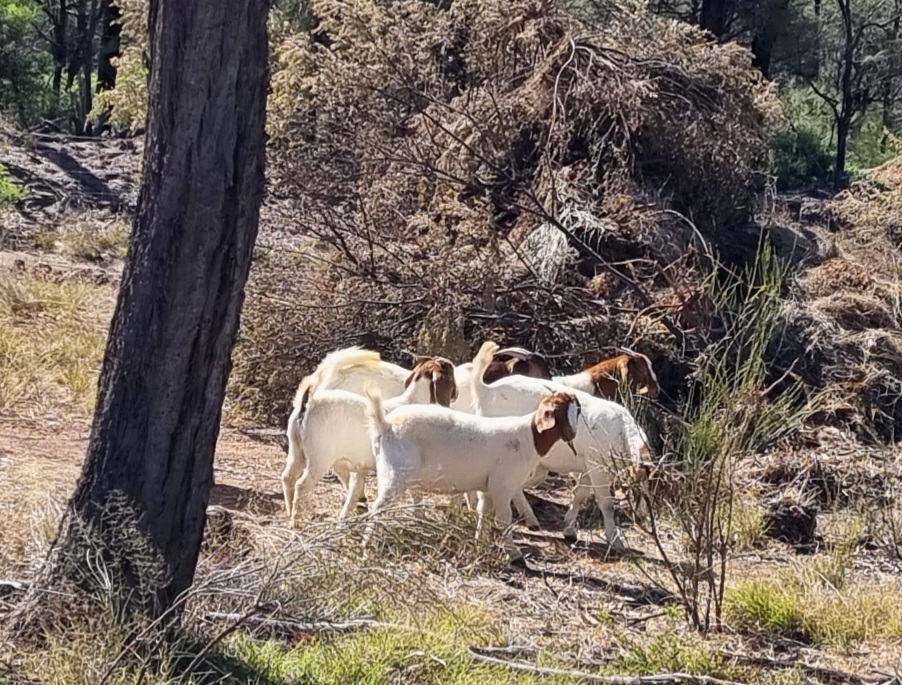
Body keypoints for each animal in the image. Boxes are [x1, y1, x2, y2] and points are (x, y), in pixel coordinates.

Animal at [281, 351, 457, 523]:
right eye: (450, 374)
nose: (455, 394)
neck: (412, 400)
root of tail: (307, 404)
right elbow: (416, 493)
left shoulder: (362, 467)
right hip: (320, 457)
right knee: (302, 485)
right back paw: (297, 522)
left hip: (297, 450)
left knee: (288, 476)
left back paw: (290, 513)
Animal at [363, 382, 581, 559]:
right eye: (559, 412)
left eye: (577, 412)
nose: (572, 434)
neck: (530, 438)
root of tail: (385, 425)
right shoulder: (502, 486)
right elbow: (504, 519)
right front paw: (514, 554)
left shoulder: (488, 487)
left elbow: (482, 512)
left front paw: (479, 541)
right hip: (394, 473)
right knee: (378, 507)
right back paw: (367, 544)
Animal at [467, 341, 652, 549]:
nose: (643, 516)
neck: (622, 431)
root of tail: (486, 390)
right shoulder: (598, 469)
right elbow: (606, 504)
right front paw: (615, 539)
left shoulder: (587, 469)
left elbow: (580, 494)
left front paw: (569, 530)